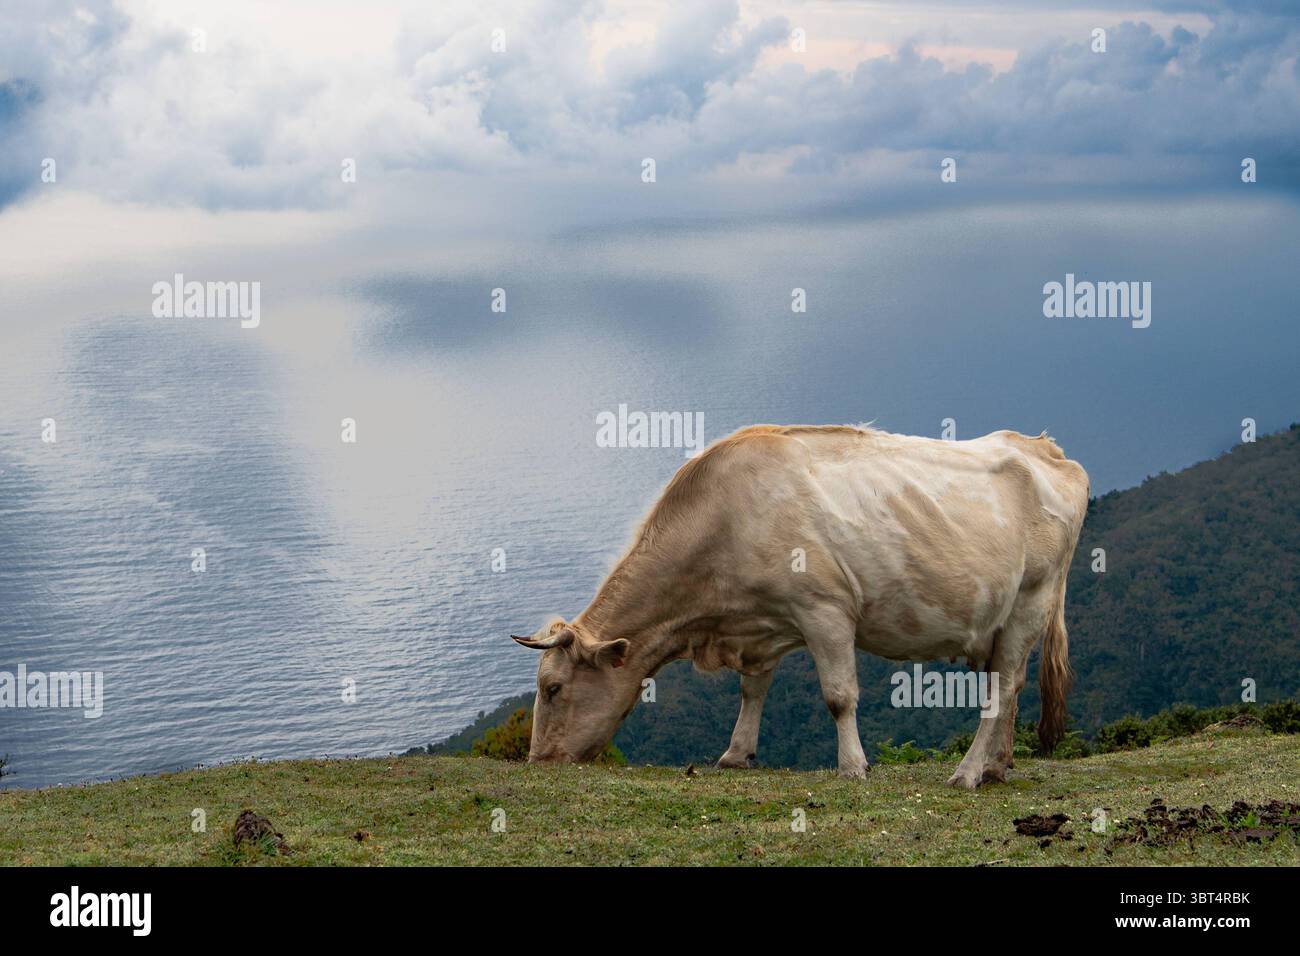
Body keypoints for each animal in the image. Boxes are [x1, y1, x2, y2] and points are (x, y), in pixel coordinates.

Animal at [512, 424, 1089, 788]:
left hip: (1031, 598)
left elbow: (839, 696)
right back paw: (996, 767)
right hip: (1007, 616)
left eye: (553, 688)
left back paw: (968, 773)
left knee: (1001, 688)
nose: (539, 760)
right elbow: (752, 691)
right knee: (1011, 684)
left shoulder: (824, 608)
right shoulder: (759, 626)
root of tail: (1046, 449)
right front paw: (736, 754)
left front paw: (853, 767)